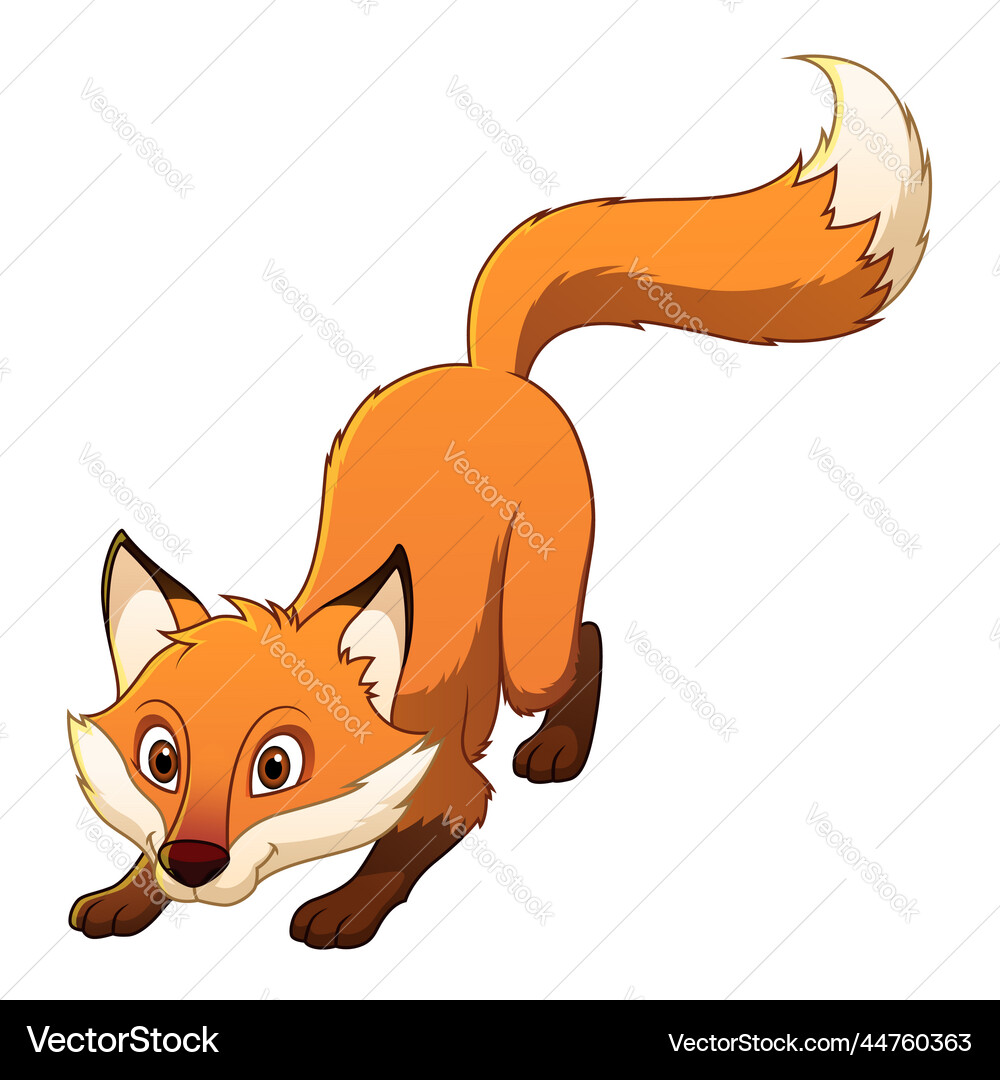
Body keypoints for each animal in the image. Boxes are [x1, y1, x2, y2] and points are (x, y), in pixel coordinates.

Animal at [70, 56, 930, 948]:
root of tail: (488, 374)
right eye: (162, 759)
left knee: (586, 642)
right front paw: (129, 893)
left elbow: (405, 850)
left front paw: (344, 911)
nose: (195, 862)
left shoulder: (452, 786)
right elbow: (141, 859)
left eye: (276, 766)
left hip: (529, 647)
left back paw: (559, 753)